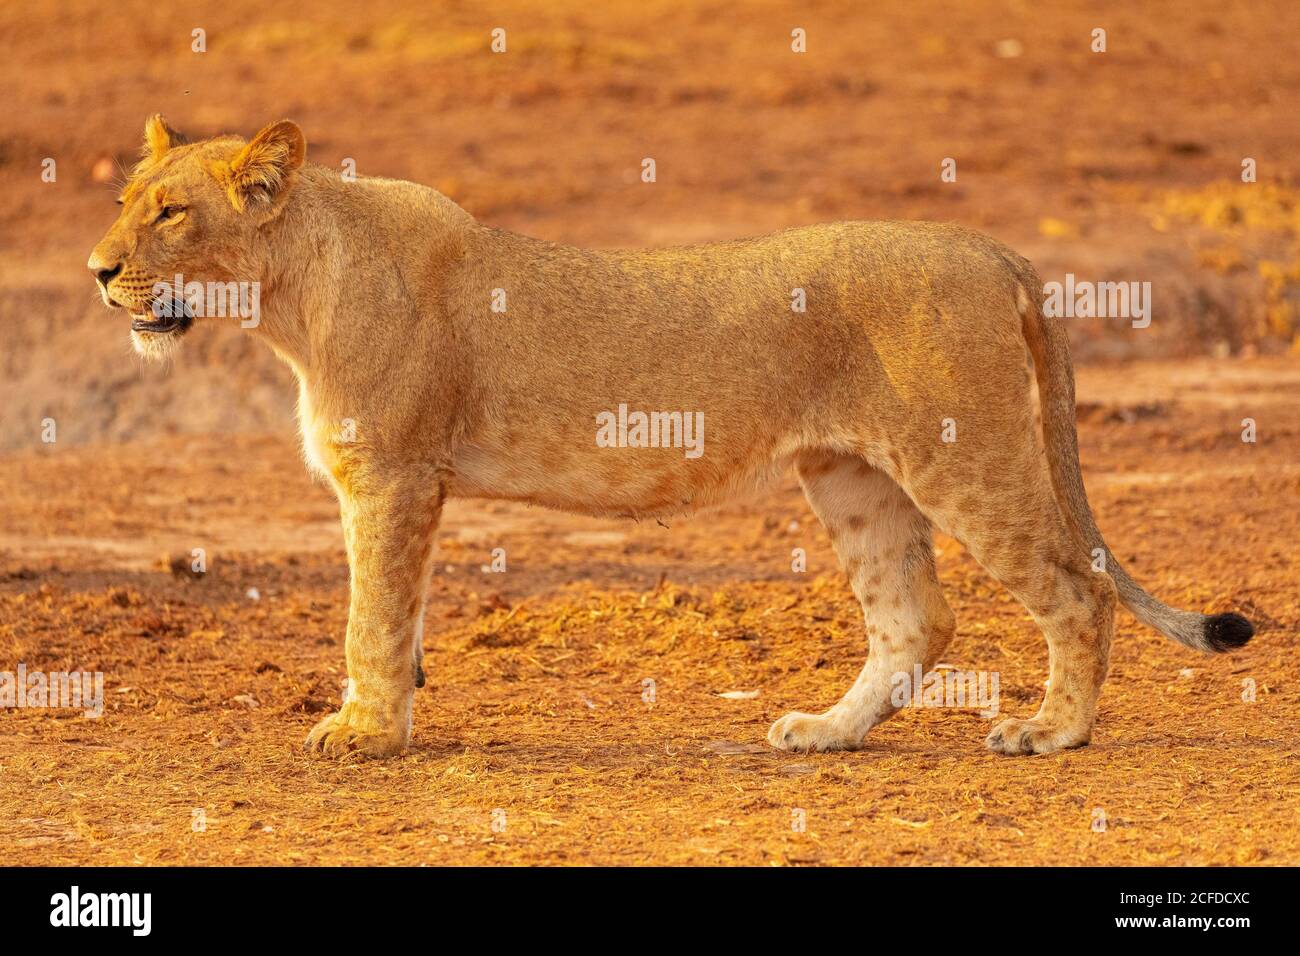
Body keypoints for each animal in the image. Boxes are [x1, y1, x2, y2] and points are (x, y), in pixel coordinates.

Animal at [88, 116, 1254, 758]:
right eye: (127, 202)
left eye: (172, 214)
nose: (97, 271)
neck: (289, 297)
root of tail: (989, 244)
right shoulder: (402, 482)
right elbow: (399, 620)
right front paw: (390, 717)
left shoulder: (392, 475)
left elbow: (370, 619)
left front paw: (364, 734)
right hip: (851, 475)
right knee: (916, 617)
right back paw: (826, 733)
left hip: (963, 456)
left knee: (1077, 588)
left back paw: (1051, 731)